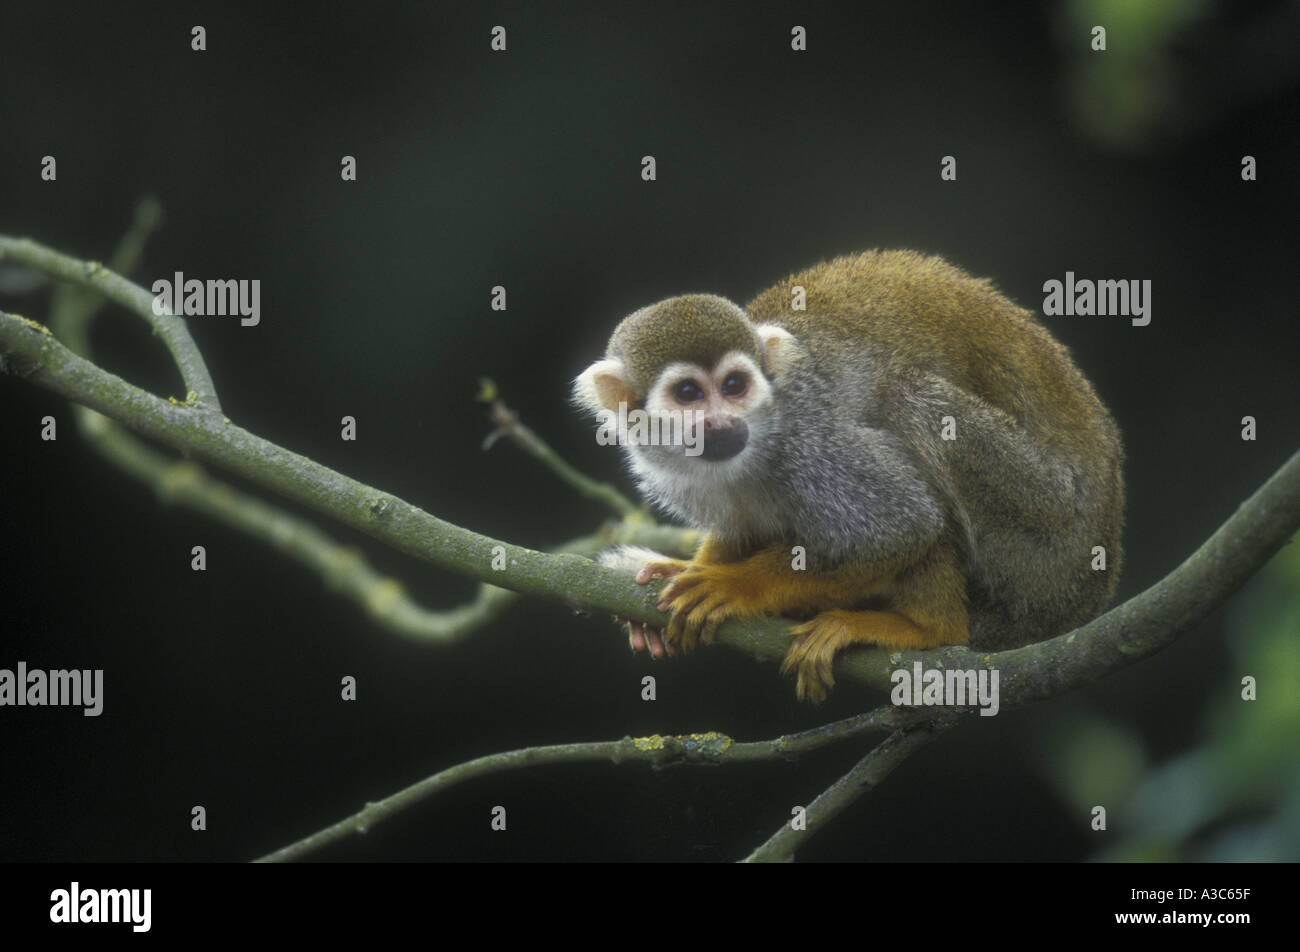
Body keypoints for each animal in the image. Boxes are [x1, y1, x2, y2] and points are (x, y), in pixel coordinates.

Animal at [572, 250, 1124, 701]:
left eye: (733, 386)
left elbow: (905, 524)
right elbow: (741, 528)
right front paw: (688, 567)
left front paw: (734, 585)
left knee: (909, 401)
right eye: (688, 394)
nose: (724, 424)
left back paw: (929, 629)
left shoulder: (812, 442)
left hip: (1045, 525)